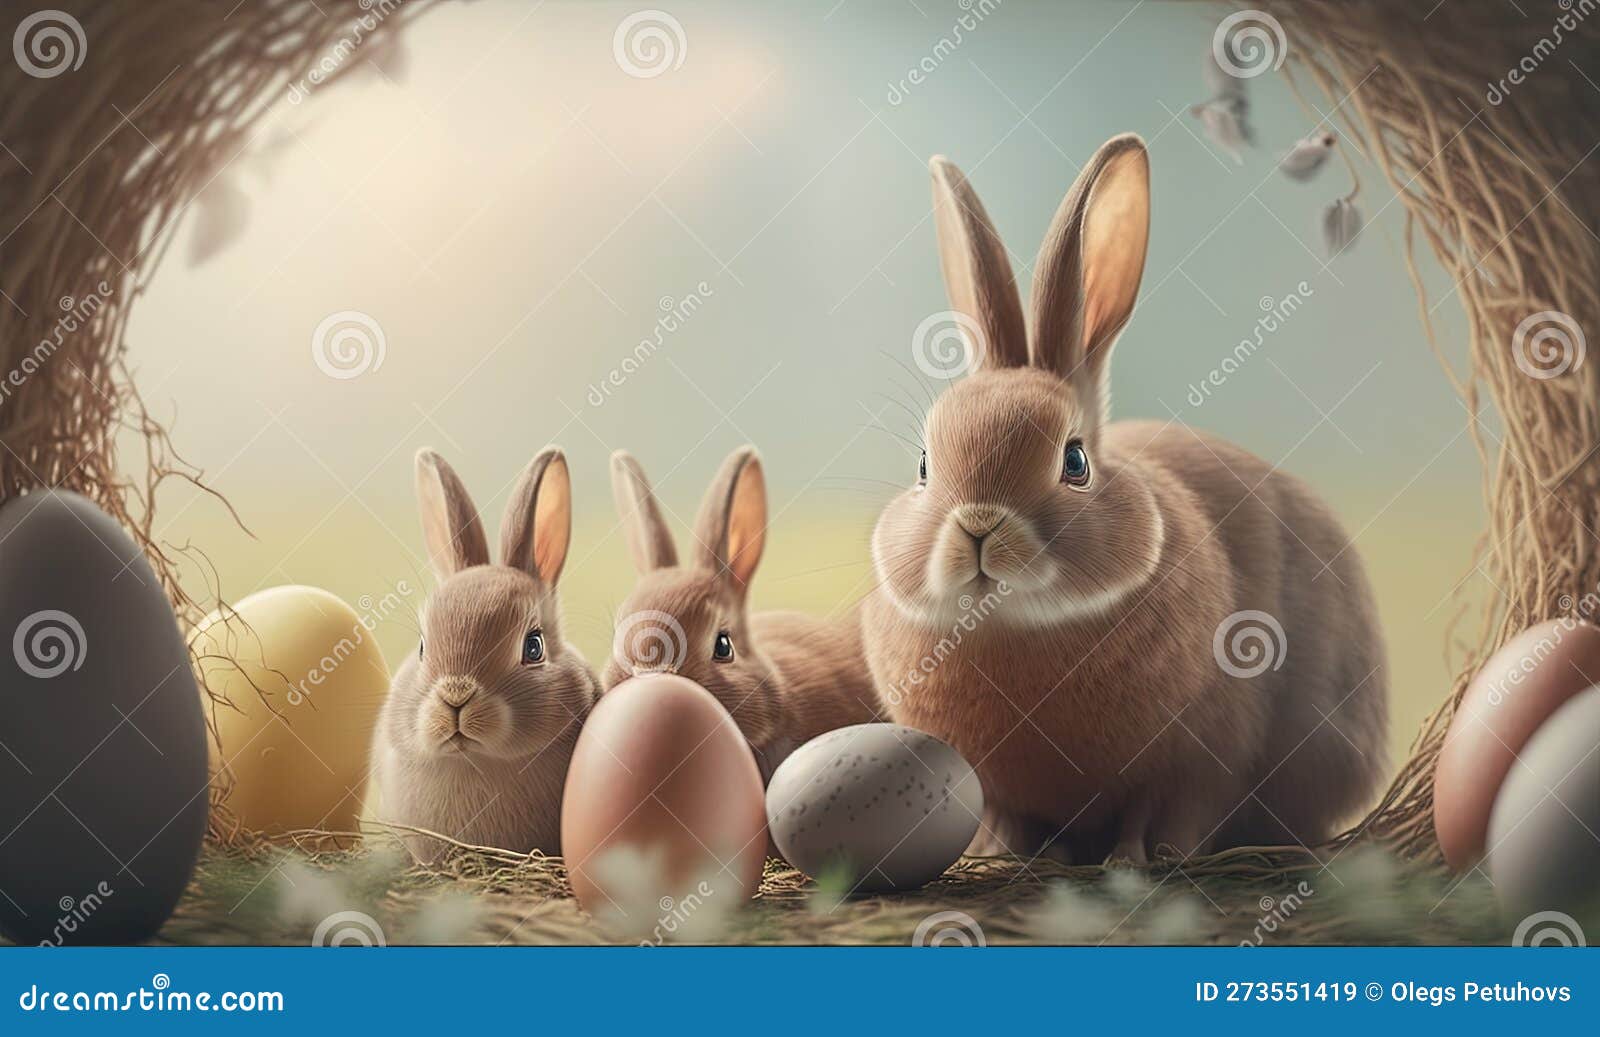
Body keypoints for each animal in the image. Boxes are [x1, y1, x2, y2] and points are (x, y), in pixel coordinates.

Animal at [861, 134, 1387, 864]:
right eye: (923, 466)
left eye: (1075, 461)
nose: (979, 527)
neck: (1015, 628)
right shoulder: (993, 783)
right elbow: (1007, 816)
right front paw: (998, 854)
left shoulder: (1205, 752)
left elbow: (1170, 806)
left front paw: (1135, 858)